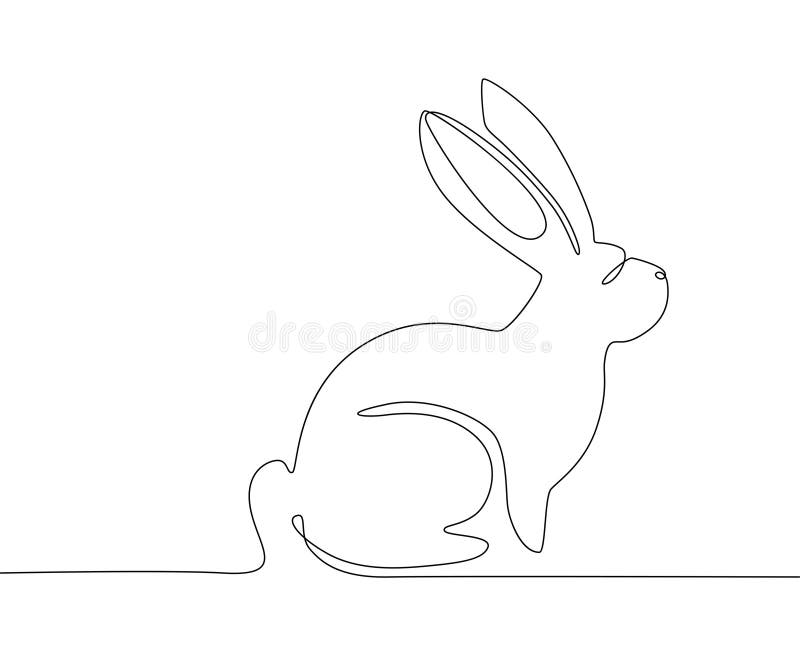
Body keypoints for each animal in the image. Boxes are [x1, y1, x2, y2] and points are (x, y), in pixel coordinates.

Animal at [260, 79, 669, 576]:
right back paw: (464, 550)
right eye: (611, 273)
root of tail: (302, 497)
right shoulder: (530, 474)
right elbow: (528, 518)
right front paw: (534, 553)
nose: (662, 275)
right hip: (457, 450)